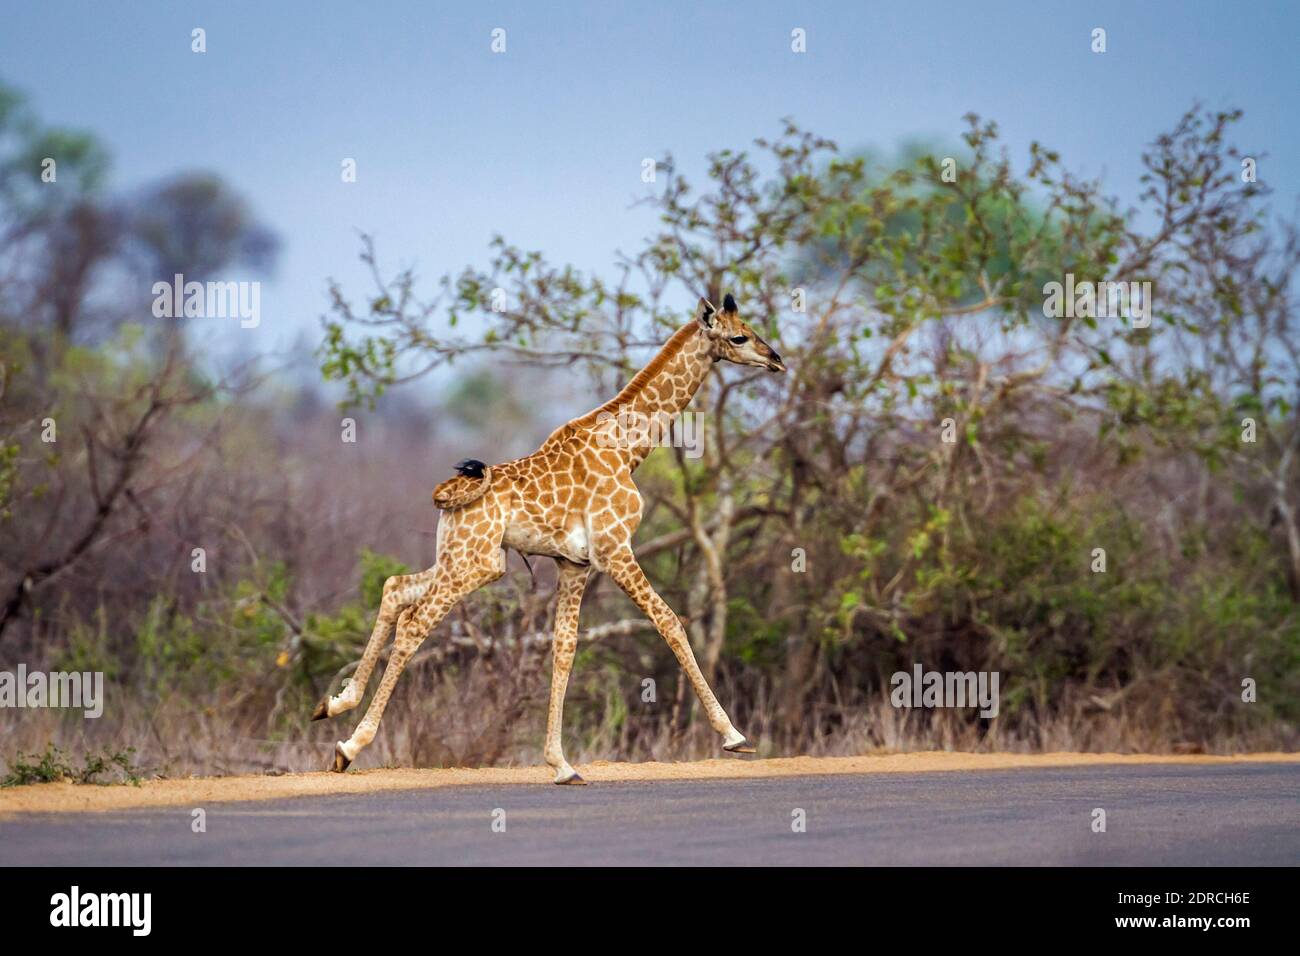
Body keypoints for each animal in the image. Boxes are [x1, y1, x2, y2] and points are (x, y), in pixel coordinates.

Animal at [311, 293, 785, 783]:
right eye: (739, 336)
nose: (776, 359)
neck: (627, 449)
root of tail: (446, 494)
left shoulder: (574, 564)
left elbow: (564, 648)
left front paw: (561, 763)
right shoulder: (615, 549)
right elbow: (670, 622)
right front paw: (734, 736)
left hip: (459, 557)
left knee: (394, 589)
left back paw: (334, 705)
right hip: (478, 565)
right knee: (413, 624)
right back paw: (349, 746)